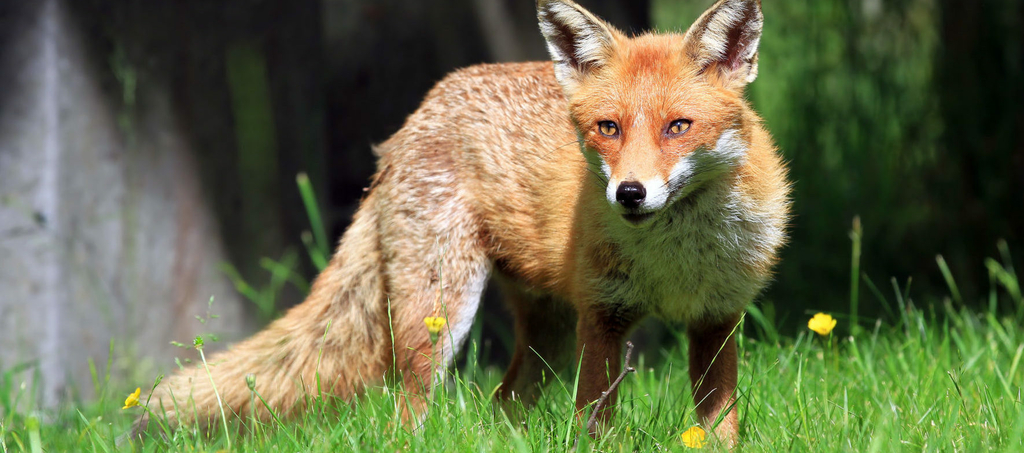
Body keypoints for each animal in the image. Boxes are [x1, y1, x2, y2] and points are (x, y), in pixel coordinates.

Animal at [138, 0, 788, 445]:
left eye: (678, 127)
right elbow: (595, 425)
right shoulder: (605, 318)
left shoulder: (715, 320)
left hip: (550, 336)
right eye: (609, 128)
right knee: (409, 413)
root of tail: (421, 111)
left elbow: (719, 428)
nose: (629, 193)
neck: (674, 259)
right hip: (442, 315)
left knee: (504, 402)